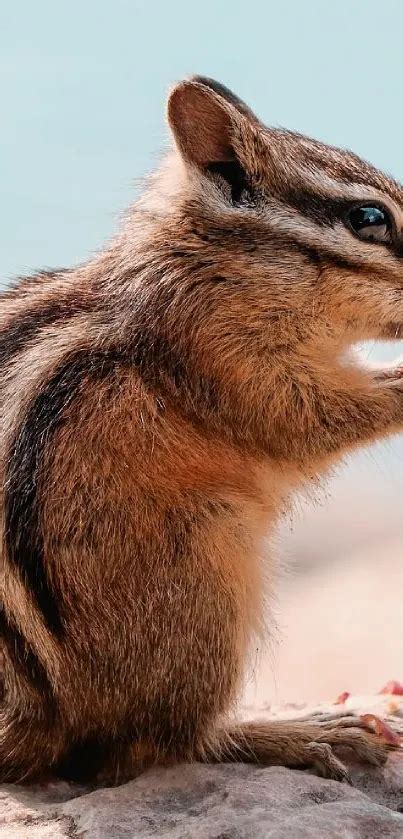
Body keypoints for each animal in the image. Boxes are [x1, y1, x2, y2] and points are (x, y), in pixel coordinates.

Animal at [1, 76, 403, 785]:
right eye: (370, 219)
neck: (209, 264)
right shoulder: (229, 365)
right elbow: (307, 420)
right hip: (205, 578)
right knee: (158, 744)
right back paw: (301, 731)